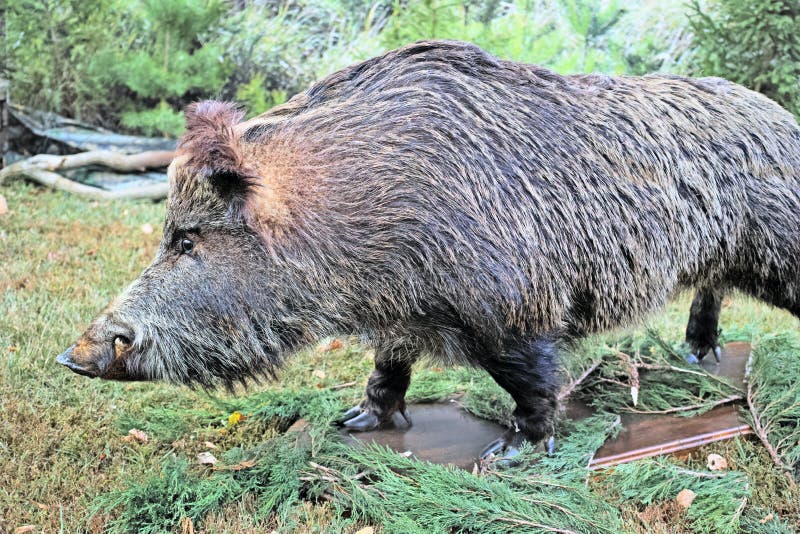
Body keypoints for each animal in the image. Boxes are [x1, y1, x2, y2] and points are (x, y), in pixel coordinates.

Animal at [58, 40, 800, 459]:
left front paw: (509, 456)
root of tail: (780, 116)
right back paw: (698, 357)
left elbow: (532, 385)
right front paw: (351, 425)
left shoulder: (512, 310)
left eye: (188, 239)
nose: (72, 355)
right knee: (711, 291)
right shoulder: (399, 312)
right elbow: (388, 370)